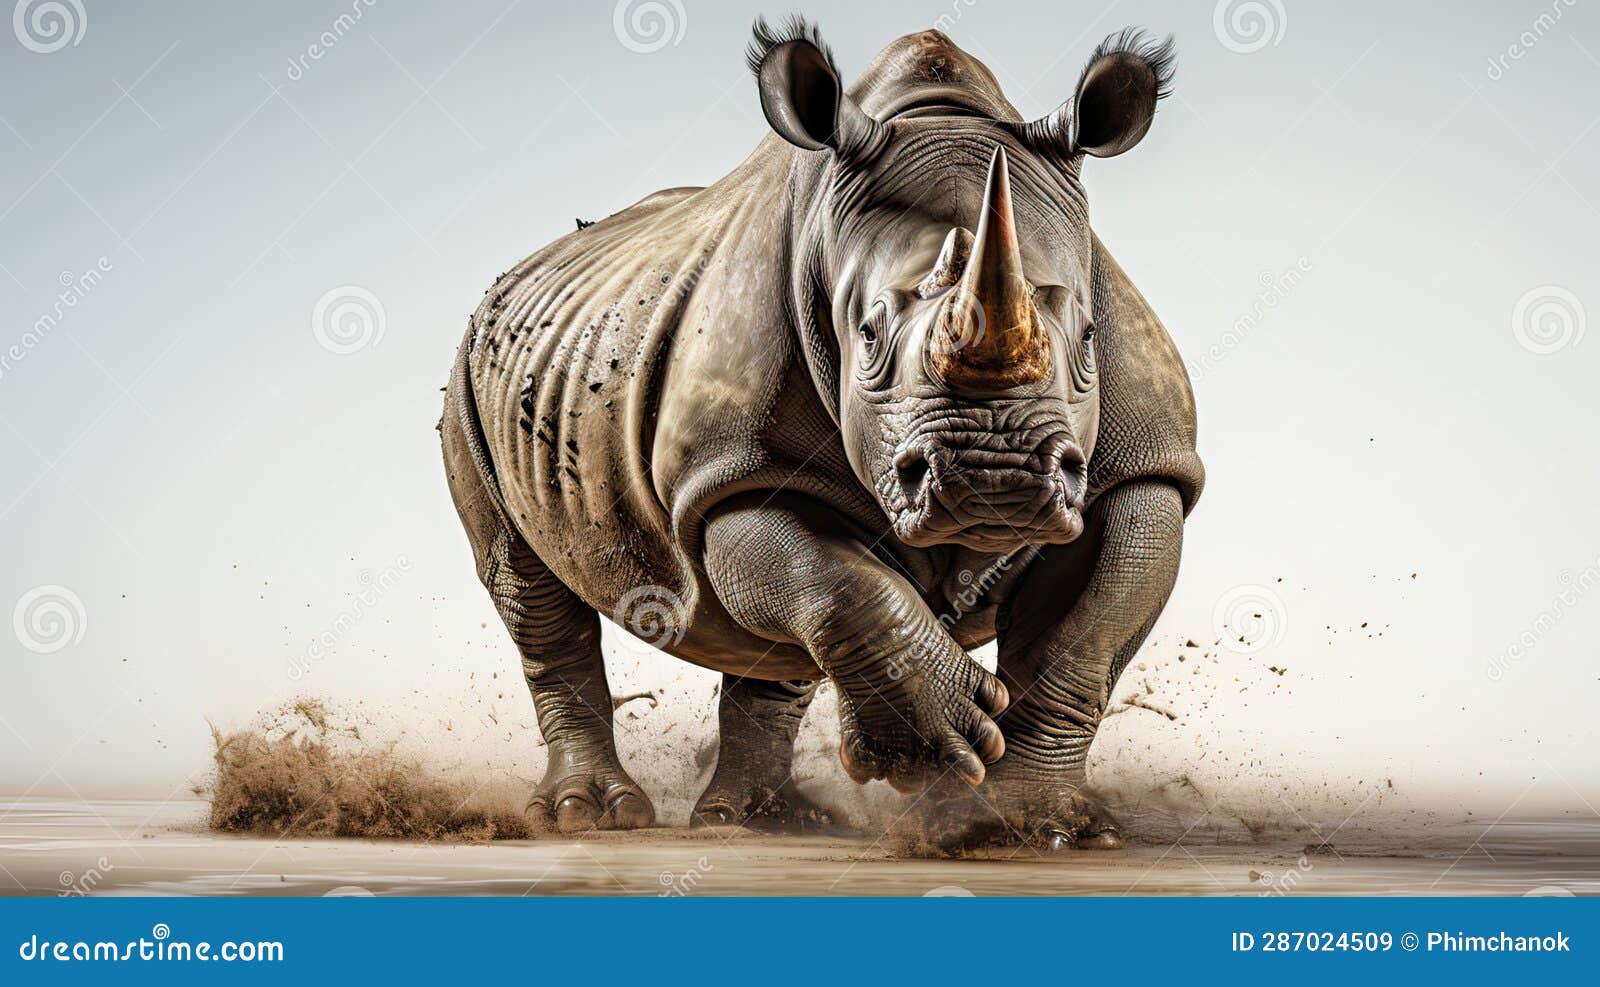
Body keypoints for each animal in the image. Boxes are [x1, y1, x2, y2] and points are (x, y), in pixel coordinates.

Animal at [441, 18, 1202, 849]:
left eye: (1090, 336)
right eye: (867, 334)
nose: (993, 478)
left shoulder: (1145, 466)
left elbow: (1082, 636)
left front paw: (1030, 825)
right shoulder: (733, 467)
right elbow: (837, 582)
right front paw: (934, 757)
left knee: (774, 648)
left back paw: (763, 821)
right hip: (470, 386)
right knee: (527, 583)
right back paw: (591, 815)